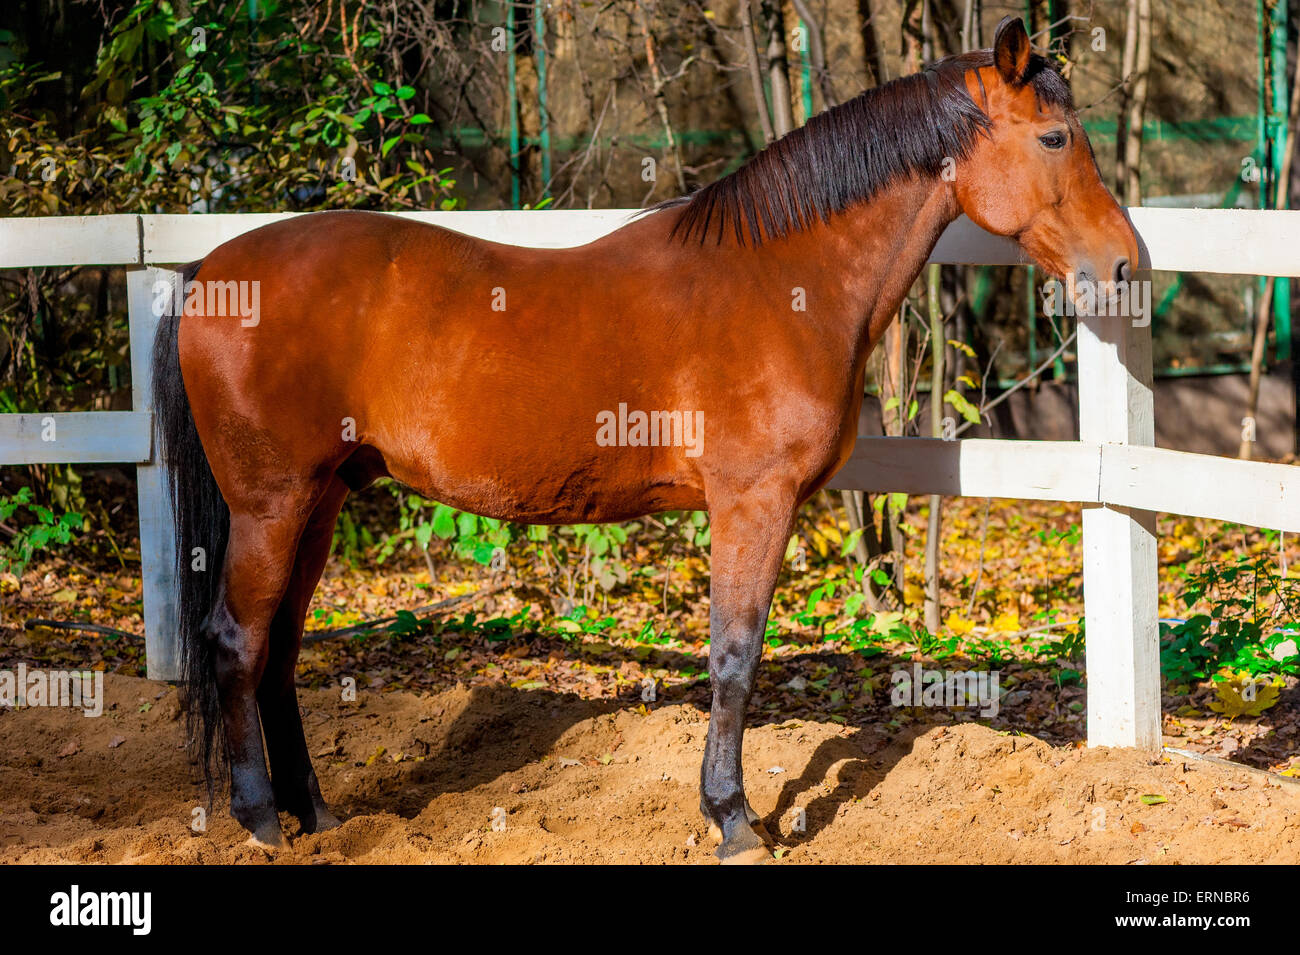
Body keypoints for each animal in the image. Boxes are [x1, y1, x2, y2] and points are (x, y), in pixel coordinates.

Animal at [151, 17, 1137, 864]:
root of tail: (208, 272)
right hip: (271, 506)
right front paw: (734, 818)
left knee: (280, 647)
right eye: (1056, 139)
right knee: (237, 639)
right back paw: (258, 819)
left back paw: (318, 816)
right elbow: (735, 657)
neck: (784, 275)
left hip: (318, 503)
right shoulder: (751, 503)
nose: (1127, 266)